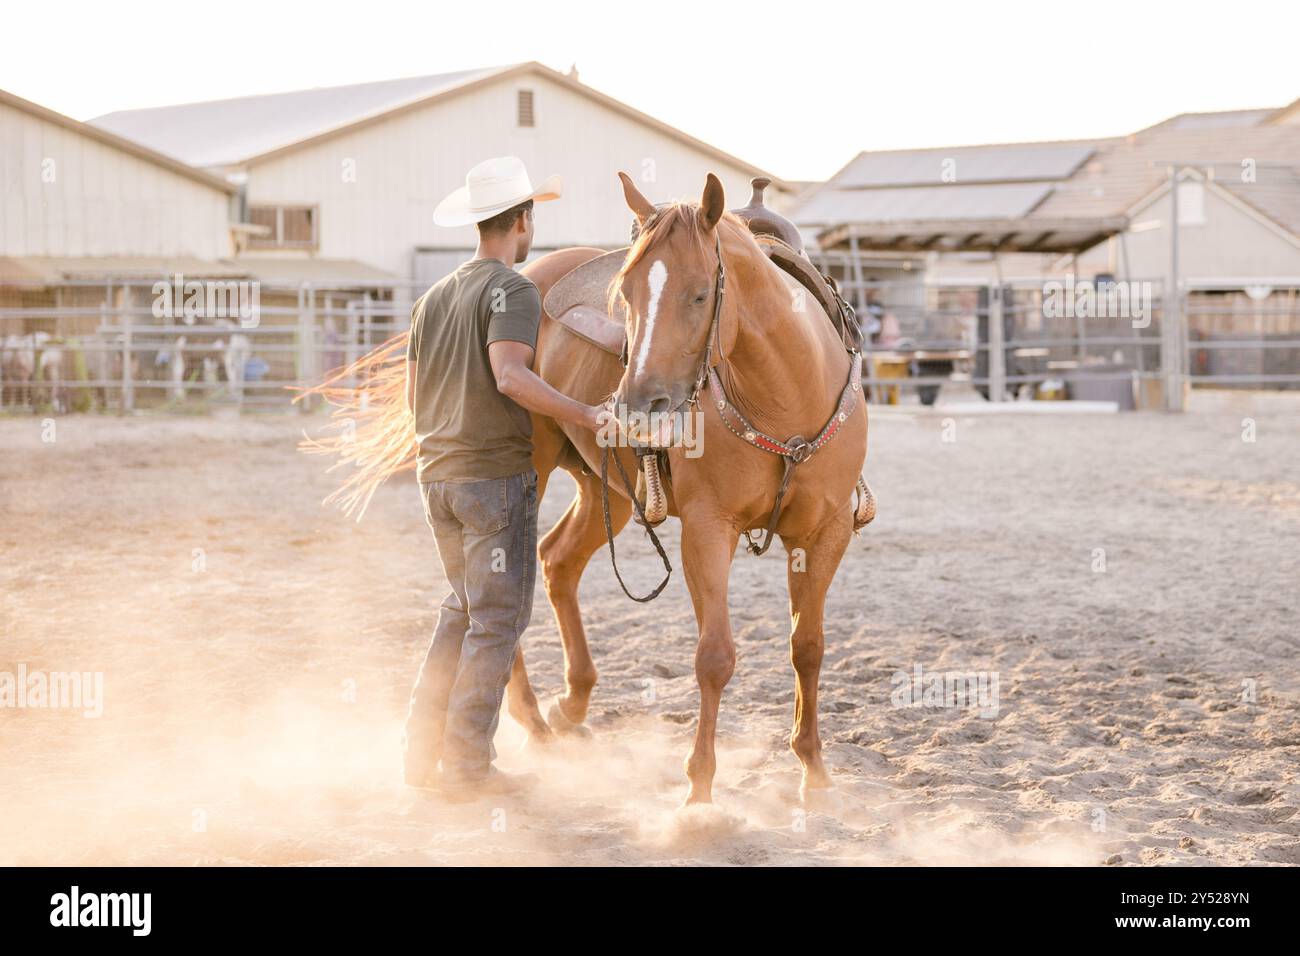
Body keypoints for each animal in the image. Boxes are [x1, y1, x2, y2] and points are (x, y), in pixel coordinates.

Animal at [301, 172, 869, 805]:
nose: (636, 403)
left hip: (613, 494)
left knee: (555, 563)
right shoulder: (706, 530)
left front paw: (814, 771)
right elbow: (714, 657)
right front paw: (699, 792)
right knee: (502, 593)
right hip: (539, 470)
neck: (785, 399)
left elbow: (808, 648)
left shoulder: (825, 533)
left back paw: (569, 706)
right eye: (626, 293)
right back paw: (529, 719)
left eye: (700, 295)